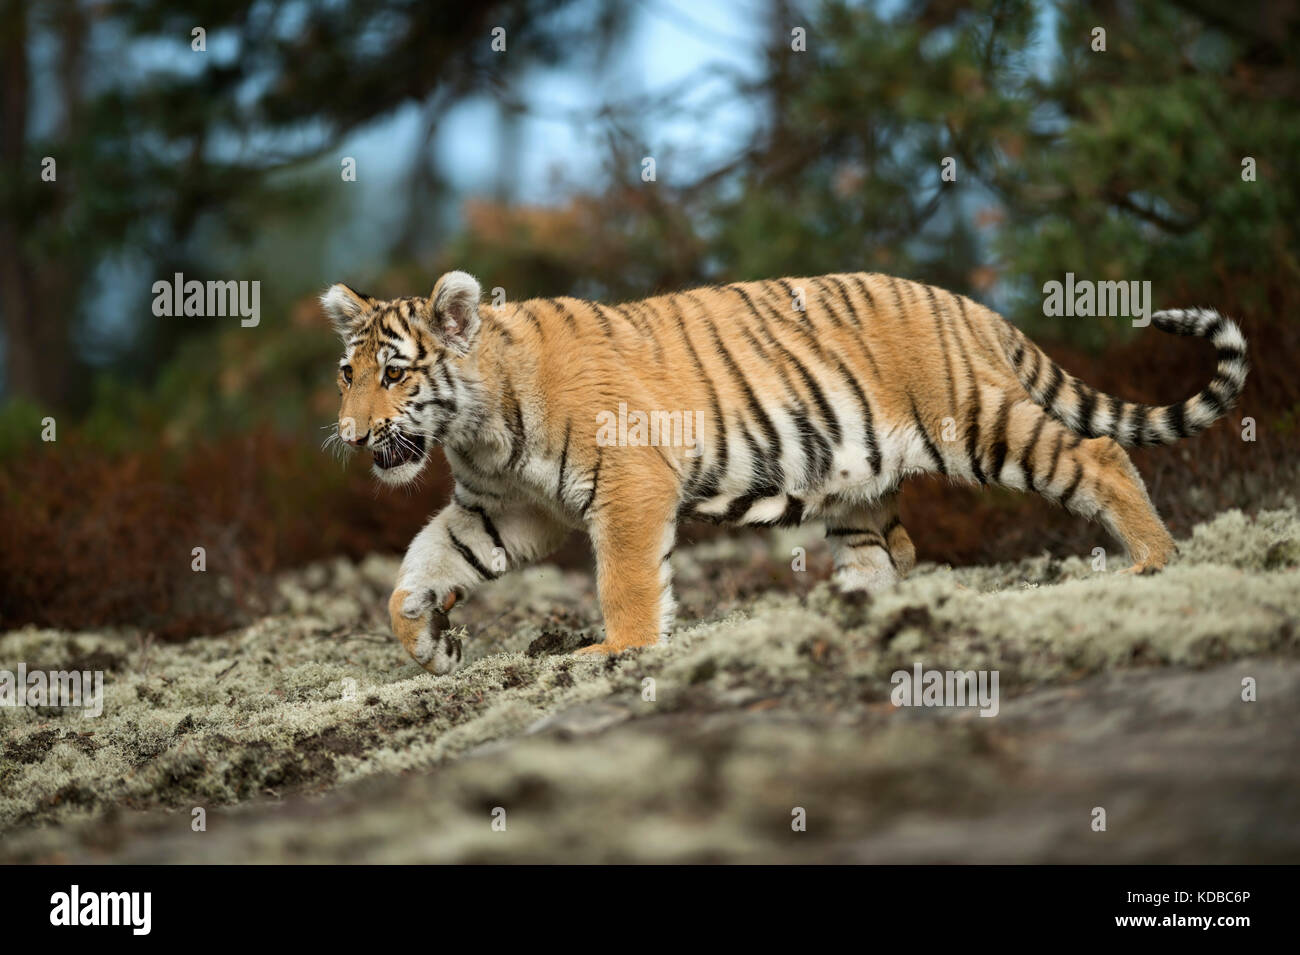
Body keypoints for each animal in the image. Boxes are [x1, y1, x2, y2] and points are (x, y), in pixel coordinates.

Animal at [321, 271, 1247, 675]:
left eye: (395, 374)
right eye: (347, 373)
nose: (352, 434)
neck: (476, 424)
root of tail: (967, 302)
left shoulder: (628, 482)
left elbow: (626, 577)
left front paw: (619, 649)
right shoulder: (503, 508)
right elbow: (418, 567)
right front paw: (431, 639)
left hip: (978, 421)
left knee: (1097, 453)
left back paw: (1153, 561)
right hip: (859, 488)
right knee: (890, 554)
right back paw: (855, 614)